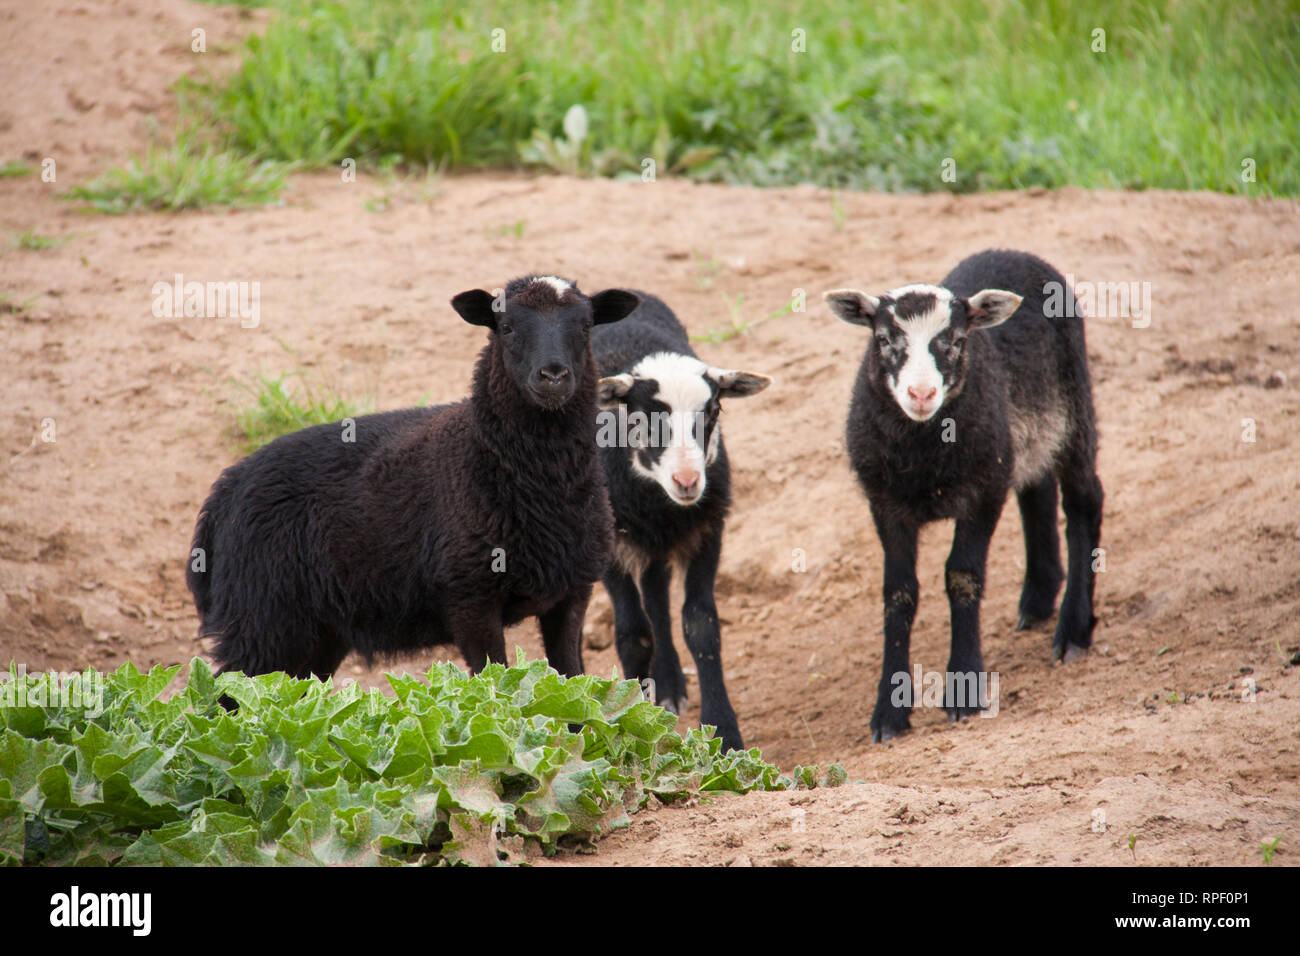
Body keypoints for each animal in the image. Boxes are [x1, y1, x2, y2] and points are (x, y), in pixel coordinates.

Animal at [186, 275, 641, 686]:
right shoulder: (469, 598)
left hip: (317, 631)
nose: (553, 376)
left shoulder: (571, 592)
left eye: (586, 325)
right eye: (506, 327)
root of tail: (223, 490)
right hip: (261, 618)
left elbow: (573, 684)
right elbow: (497, 691)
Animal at [592, 292, 771, 752]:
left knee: (657, 595)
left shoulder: (706, 530)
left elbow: (700, 625)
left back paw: (670, 683)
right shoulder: (610, 543)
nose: (688, 481)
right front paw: (629, 719)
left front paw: (725, 731)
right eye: (640, 418)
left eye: (715, 410)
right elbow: (632, 634)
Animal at [824, 249, 1103, 742]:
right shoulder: (885, 504)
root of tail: (1013, 251)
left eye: (955, 341)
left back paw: (1072, 630)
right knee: (1037, 490)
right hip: (1023, 433)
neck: (922, 453)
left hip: (1072, 409)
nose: (921, 392)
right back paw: (1038, 598)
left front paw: (965, 690)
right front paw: (889, 712)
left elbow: (962, 576)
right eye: (884, 339)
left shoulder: (983, 490)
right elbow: (899, 592)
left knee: (1083, 505)